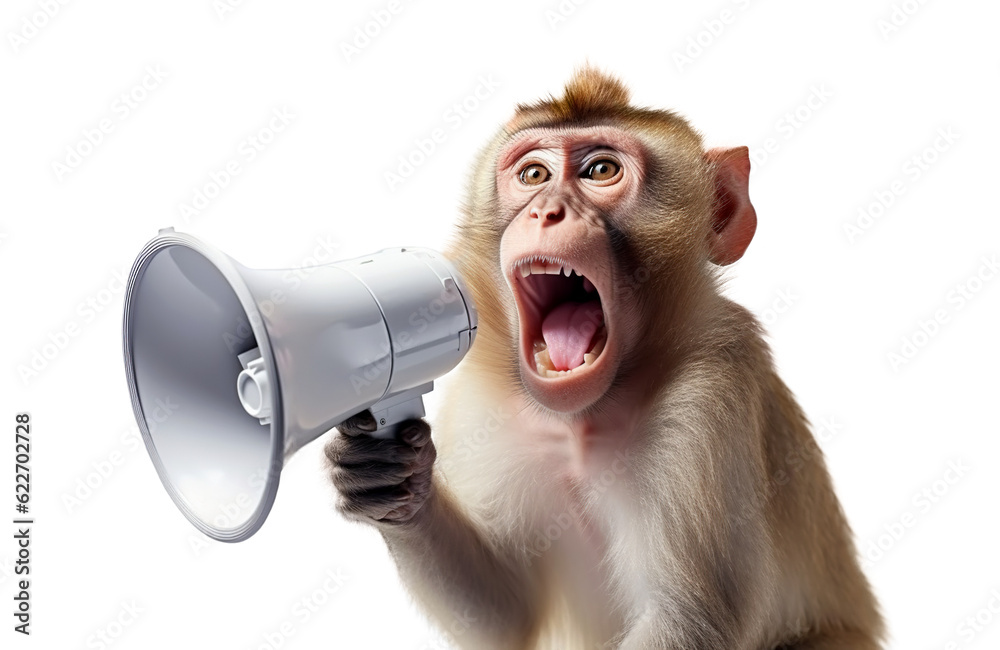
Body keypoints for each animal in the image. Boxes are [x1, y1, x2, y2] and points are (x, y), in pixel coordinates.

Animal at [325, 68, 884, 649]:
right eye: (533, 173)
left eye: (601, 171)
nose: (545, 210)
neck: (582, 421)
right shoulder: (483, 402)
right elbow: (507, 613)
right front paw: (390, 477)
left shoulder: (711, 392)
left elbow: (687, 619)